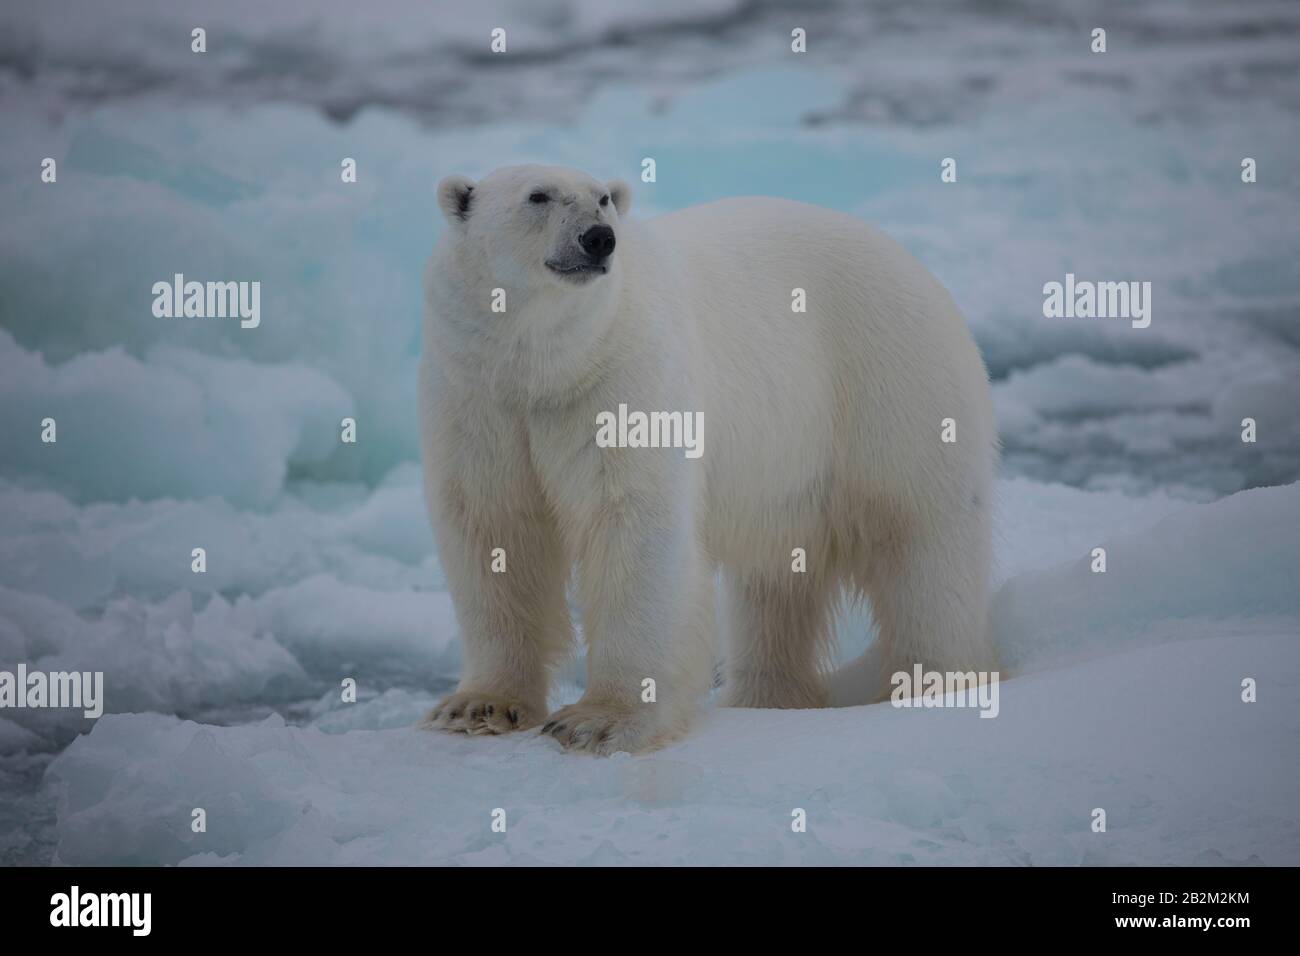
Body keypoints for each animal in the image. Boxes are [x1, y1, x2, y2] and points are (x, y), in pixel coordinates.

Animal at [420, 164, 998, 755]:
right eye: (538, 196)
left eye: (603, 199)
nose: (599, 239)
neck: (545, 364)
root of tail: (916, 266)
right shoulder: (478, 396)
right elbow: (494, 528)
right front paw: (479, 706)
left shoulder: (621, 378)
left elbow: (632, 521)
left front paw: (598, 721)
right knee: (778, 580)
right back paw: (766, 697)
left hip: (890, 386)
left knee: (922, 543)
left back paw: (932, 685)